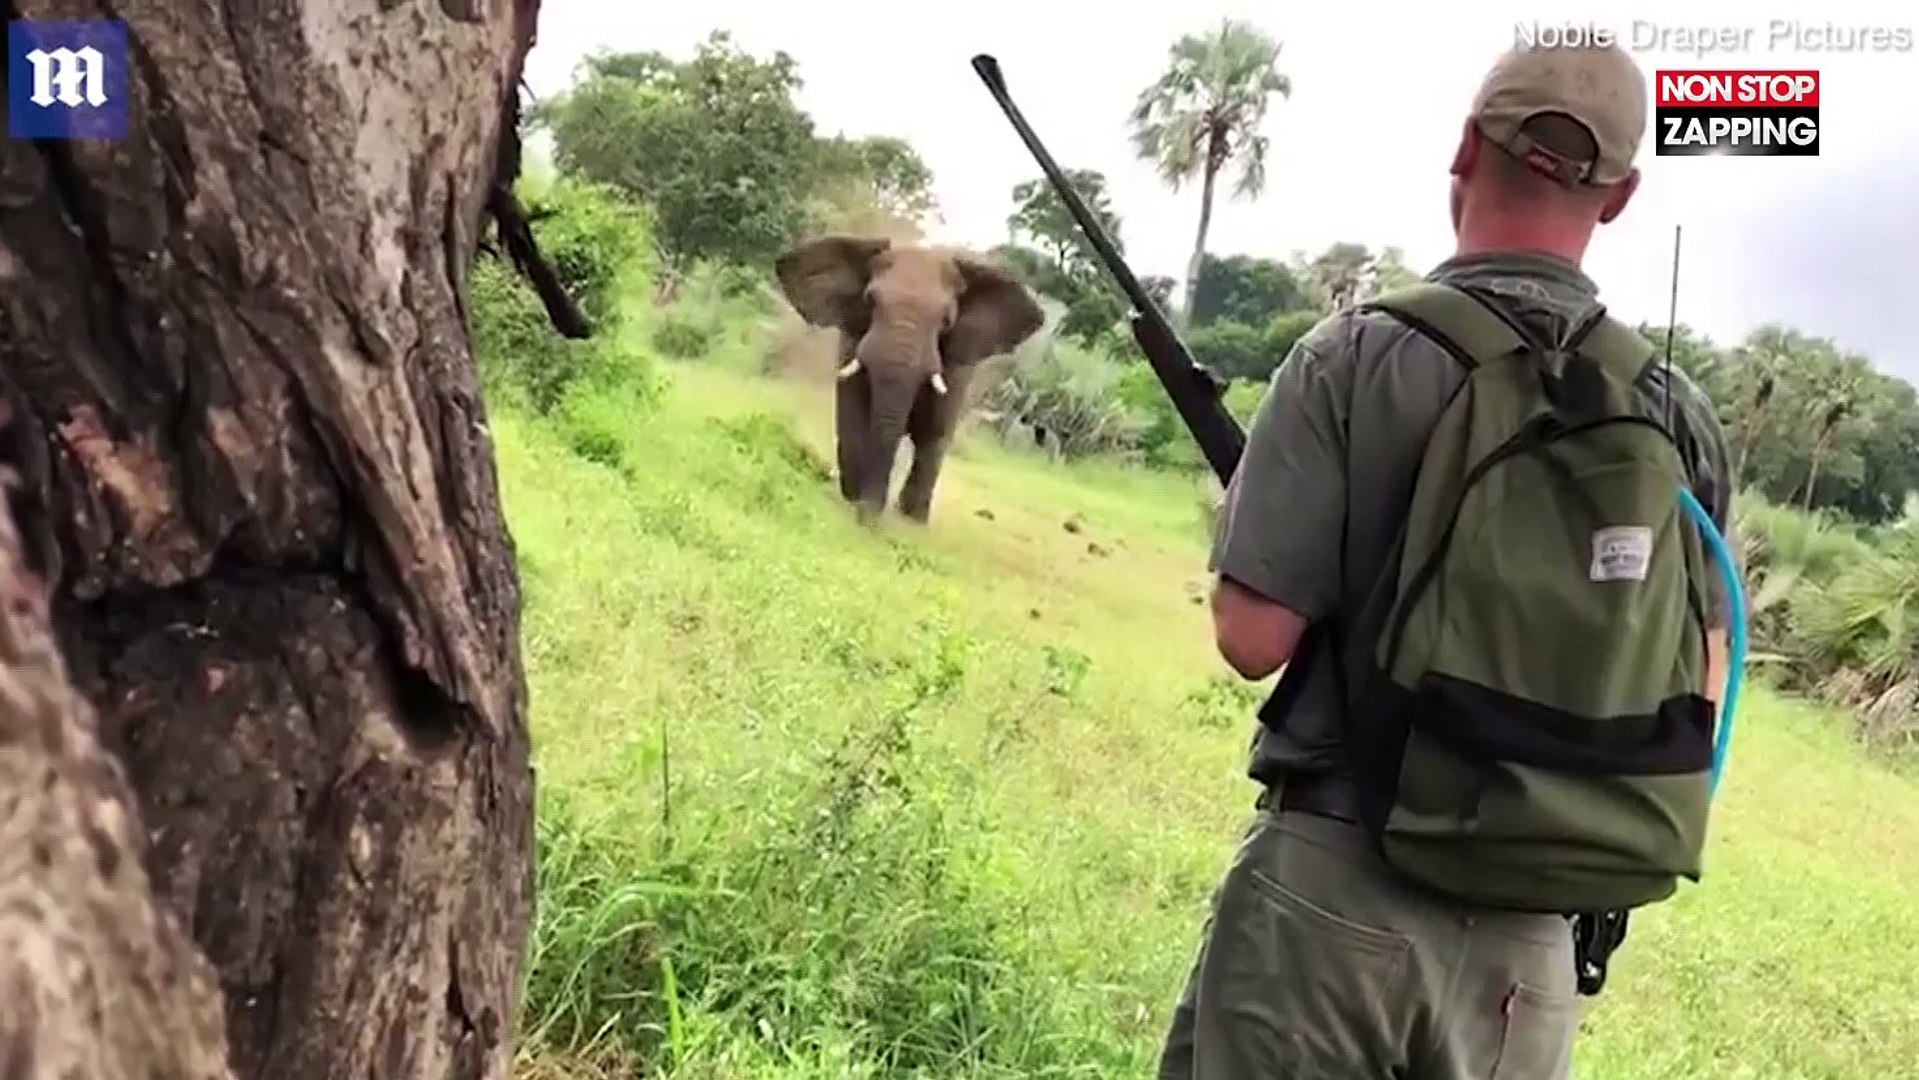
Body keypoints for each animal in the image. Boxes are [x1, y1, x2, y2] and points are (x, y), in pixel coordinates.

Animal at [774, 235, 1046, 524]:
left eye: (946, 321)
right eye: (870, 301)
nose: (868, 517)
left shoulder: (954, 367)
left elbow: (933, 433)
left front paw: (912, 518)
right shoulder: (852, 344)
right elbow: (854, 418)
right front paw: (857, 499)